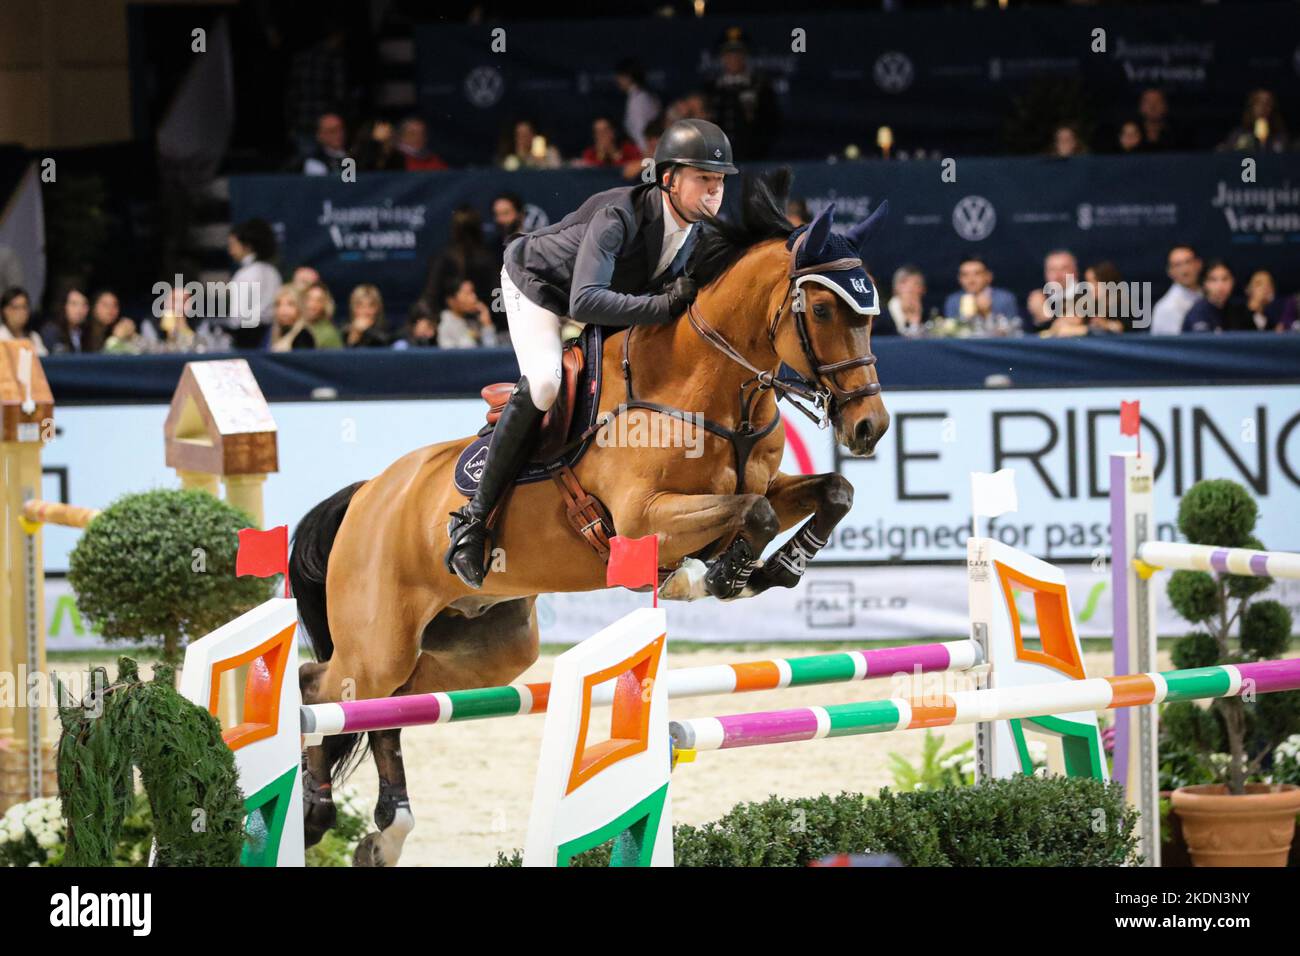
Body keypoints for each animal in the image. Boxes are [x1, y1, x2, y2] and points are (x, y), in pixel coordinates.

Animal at [288, 170, 892, 865]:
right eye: (821, 310)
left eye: (869, 315)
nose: (870, 427)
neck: (710, 388)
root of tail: (367, 494)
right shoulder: (642, 519)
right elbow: (756, 513)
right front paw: (719, 574)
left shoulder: (767, 481)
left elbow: (832, 491)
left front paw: (778, 569)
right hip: (378, 640)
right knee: (318, 686)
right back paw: (314, 811)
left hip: (485, 646)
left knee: (390, 704)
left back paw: (387, 831)